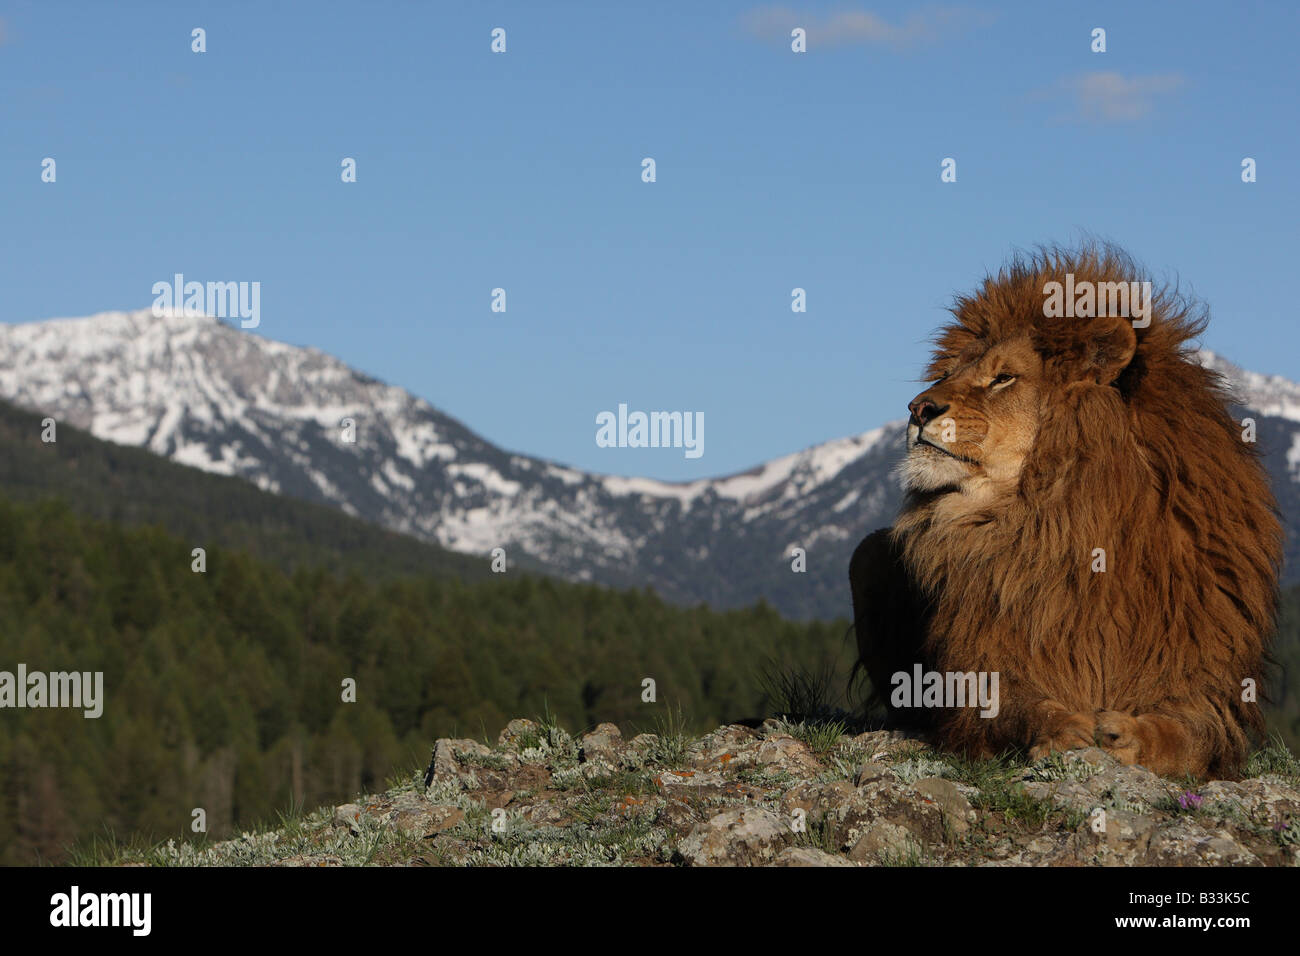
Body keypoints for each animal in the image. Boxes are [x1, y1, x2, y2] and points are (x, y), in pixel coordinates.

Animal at [849, 243, 1282, 779]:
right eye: (948, 373)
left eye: (1003, 378)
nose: (916, 408)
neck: (1057, 518)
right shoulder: (982, 670)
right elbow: (1015, 706)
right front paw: (1062, 729)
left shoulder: (1205, 682)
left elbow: (1191, 736)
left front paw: (1128, 734)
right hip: (866, 553)